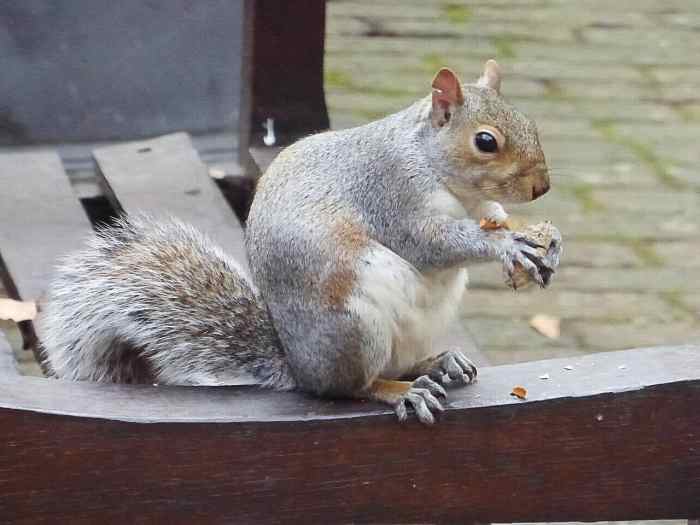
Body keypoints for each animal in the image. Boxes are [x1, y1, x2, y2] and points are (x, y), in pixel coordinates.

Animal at [39, 60, 559, 424]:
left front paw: (544, 238)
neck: (434, 164)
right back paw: (396, 390)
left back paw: (438, 360)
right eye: (486, 142)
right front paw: (507, 246)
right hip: (353, 326)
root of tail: (299, 368)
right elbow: (429, 243)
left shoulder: (478, 206)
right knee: (351, 387)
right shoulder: (391, 193)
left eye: (531, 124)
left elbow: (494, 218)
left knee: (402, 362)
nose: (542, 188)